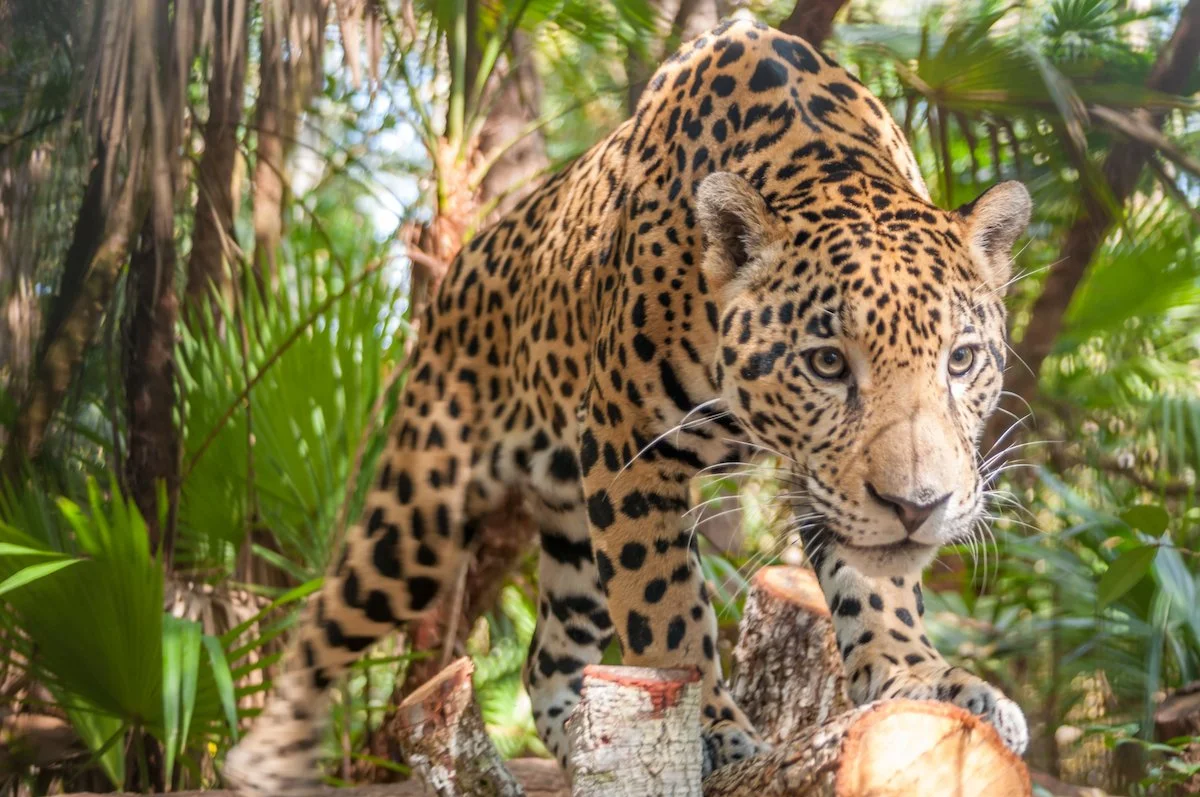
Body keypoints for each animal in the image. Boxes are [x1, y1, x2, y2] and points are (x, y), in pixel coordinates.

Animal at [223, 16, 1032, 793]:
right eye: (828, 363)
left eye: (960, 361)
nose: (918, 506)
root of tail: (464, 261)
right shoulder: (628, 443)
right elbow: (664, 610)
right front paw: (712, 733)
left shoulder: (820, 484)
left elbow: (877, 581)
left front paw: (927, 680)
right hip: (422, 508)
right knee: (328, 615)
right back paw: (265, 759)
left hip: (572, 524)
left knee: (546, 658)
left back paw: (587, 747)